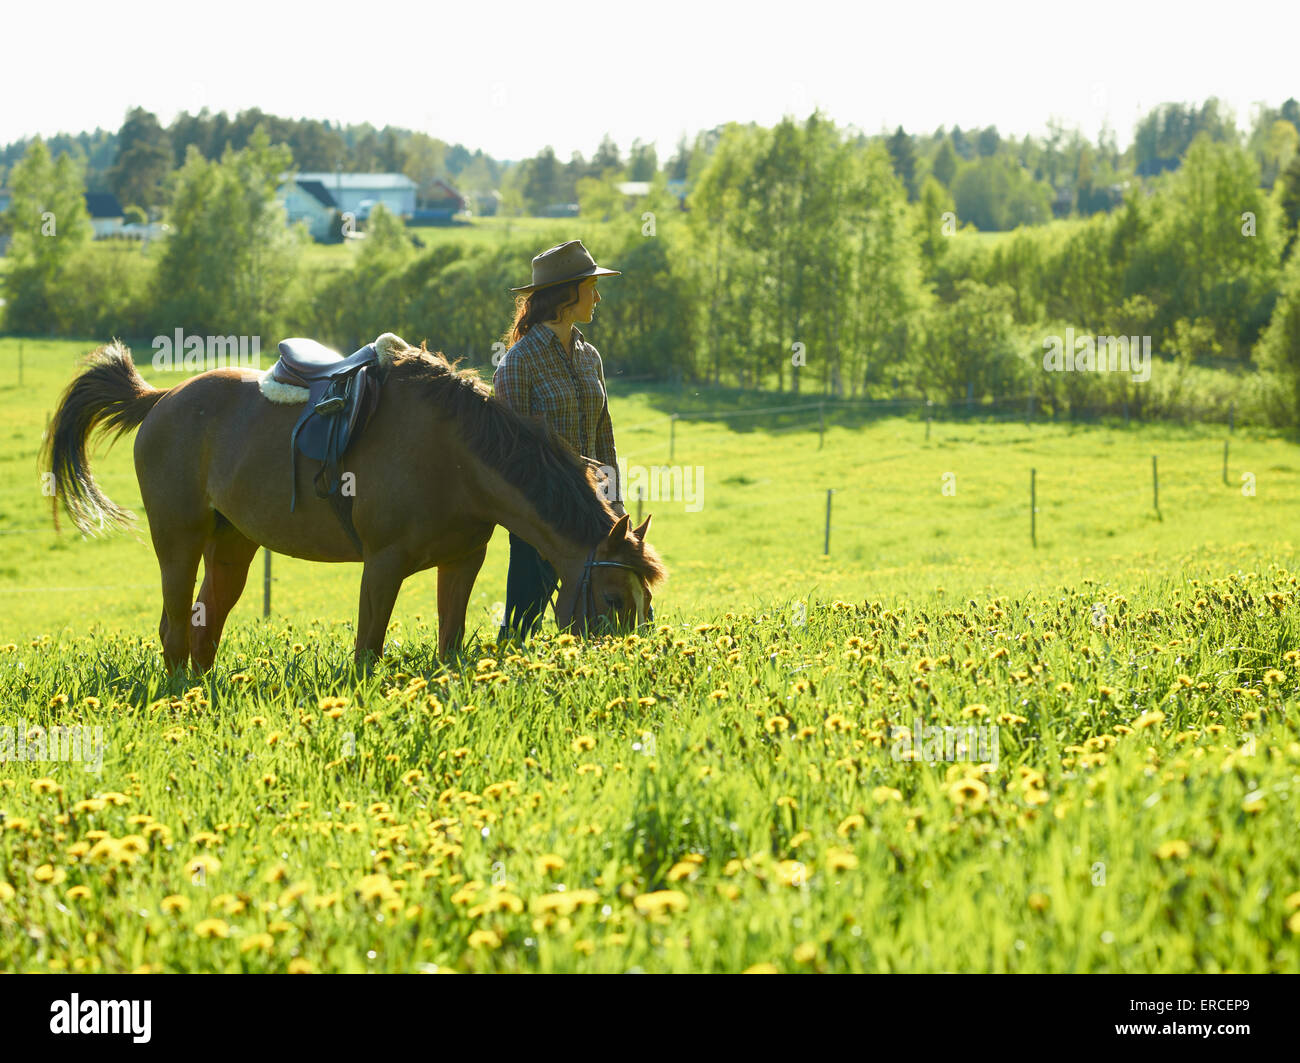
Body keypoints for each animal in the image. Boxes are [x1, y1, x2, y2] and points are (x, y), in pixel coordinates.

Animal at [43, 334, 667, 672]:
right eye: (614, 599)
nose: (630, 665)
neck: (452, 456)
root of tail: (161, 398)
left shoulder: (462, 562)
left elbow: (449, 645)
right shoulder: (383, 564)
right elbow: (368, 651)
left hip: (233, 544)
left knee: (205, 624)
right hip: (179, 539)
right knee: (174, 628)